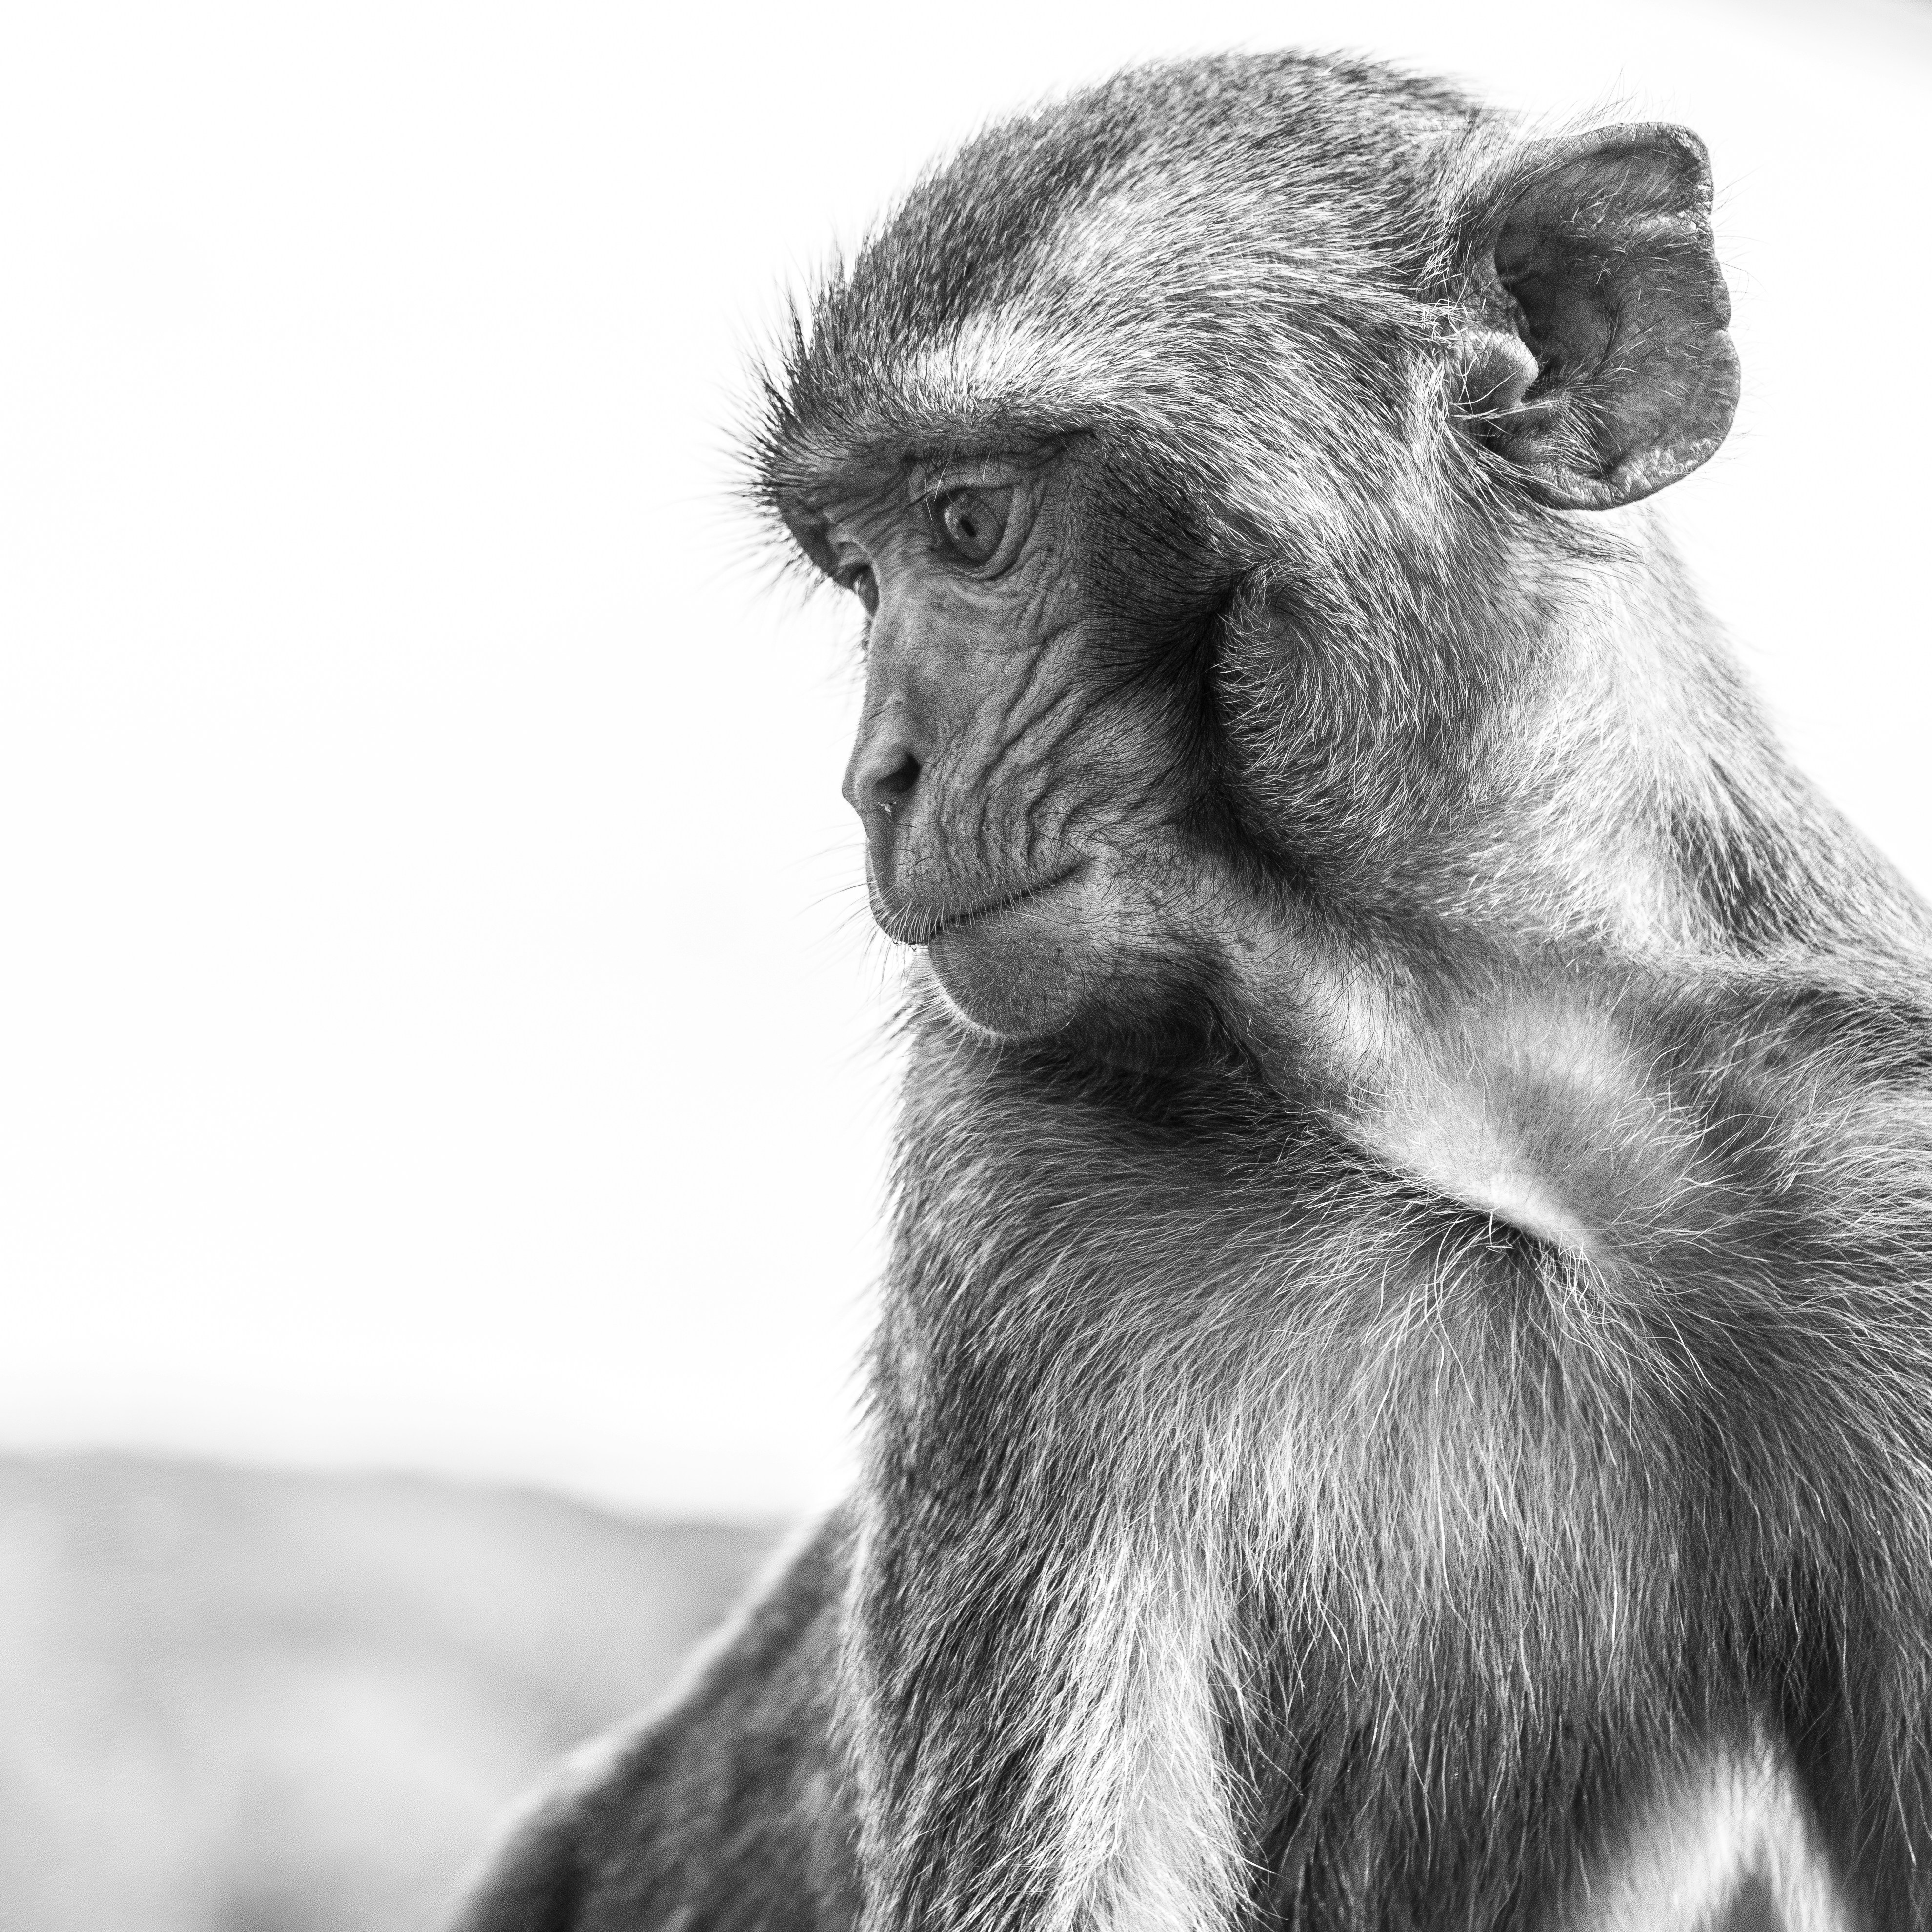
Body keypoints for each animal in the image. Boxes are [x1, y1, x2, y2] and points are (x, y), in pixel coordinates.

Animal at [449, 49, 1932, 1932]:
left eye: (969, 526)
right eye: (860, 574)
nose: (875, 776)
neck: (1468, 1057)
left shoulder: (1887, 1187)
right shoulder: (1006, 1181)